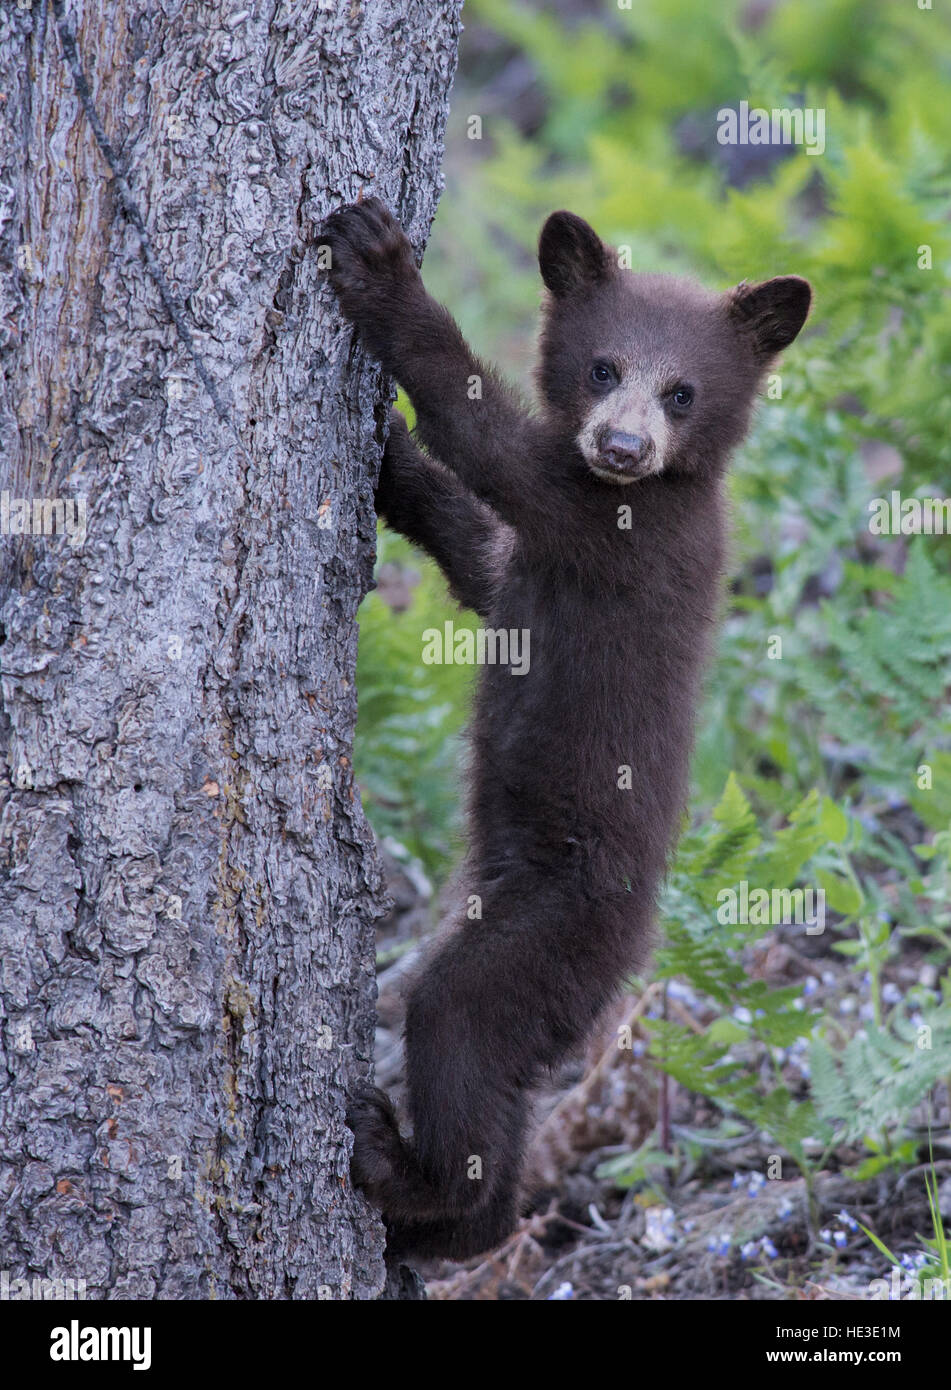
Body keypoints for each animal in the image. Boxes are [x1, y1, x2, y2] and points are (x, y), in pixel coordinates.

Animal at [322, 197, 811, 1261]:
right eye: (601, 368)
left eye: (681, 392)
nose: (622, 447)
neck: (655, 492)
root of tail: (634, 946)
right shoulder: (529, 558)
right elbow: (477, 547)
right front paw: (390, 459)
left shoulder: (608, 532)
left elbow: (488, 439)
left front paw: (382, 270)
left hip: (548, 932)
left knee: (457, 1025)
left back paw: (409, 1181)